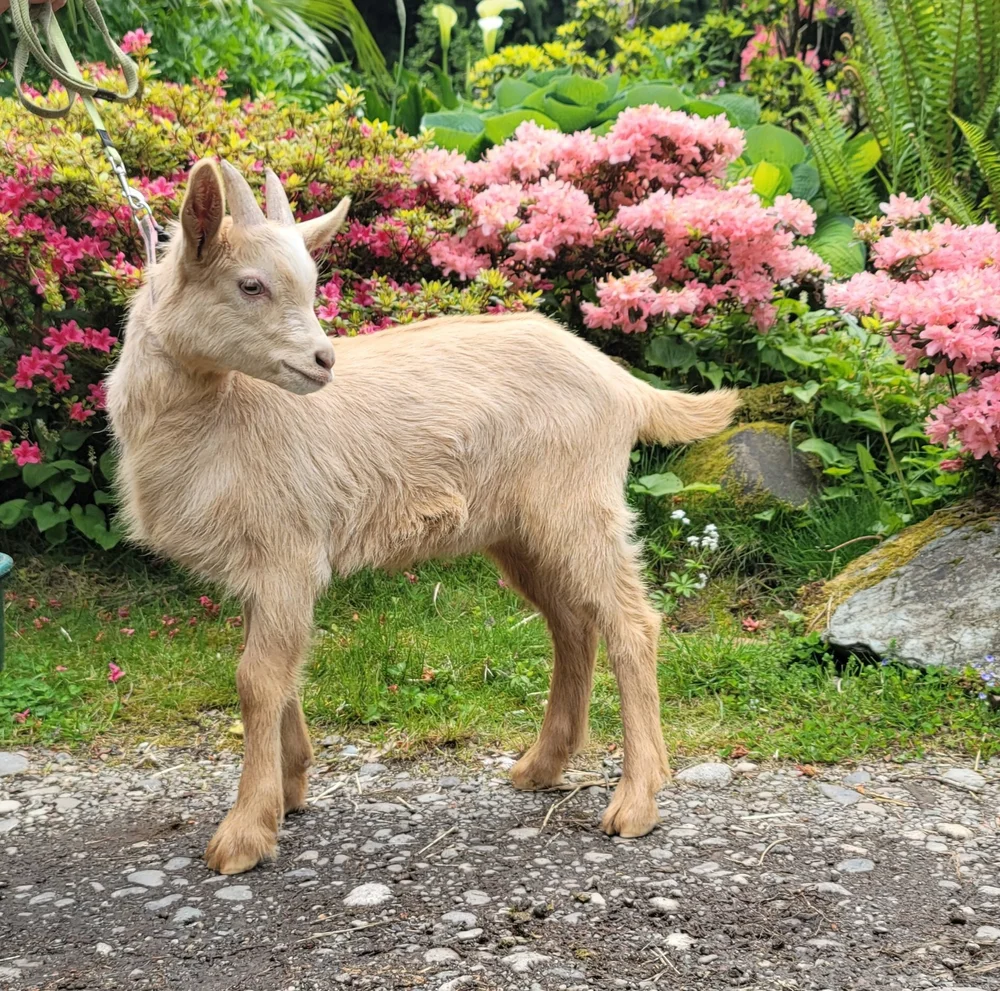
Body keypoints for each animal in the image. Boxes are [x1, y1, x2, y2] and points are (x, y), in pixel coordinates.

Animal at [106, 159, 739, 875]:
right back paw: (542, 766)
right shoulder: (263, 566)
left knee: (631, 624)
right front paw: (290, 789)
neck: (220, 415)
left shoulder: (287, 554)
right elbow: (278, 669)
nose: (324, 361)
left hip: (577, 505)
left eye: (309, 285)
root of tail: (623, 386)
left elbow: (257, 680)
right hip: (523, 529)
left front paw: (244, 833)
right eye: (250, 284)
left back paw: (636, 801)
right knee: (572, 624)